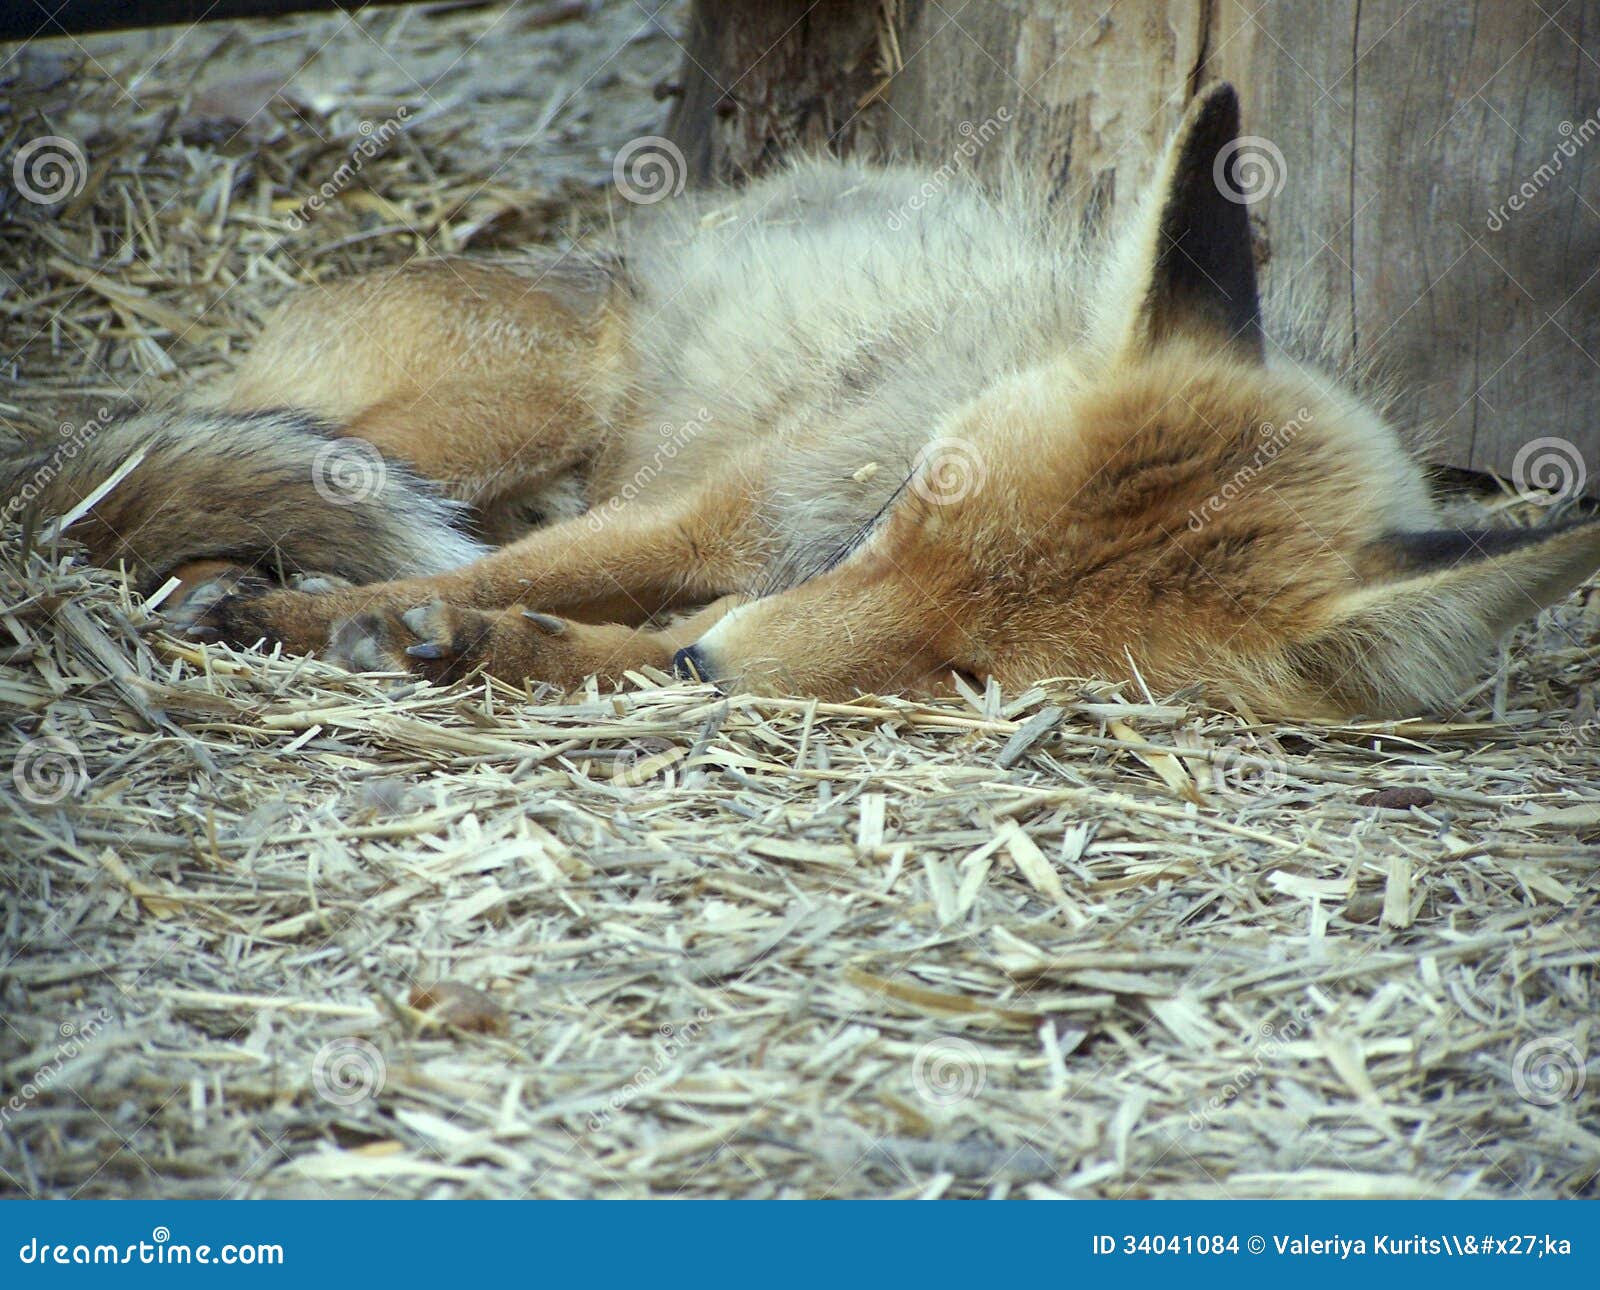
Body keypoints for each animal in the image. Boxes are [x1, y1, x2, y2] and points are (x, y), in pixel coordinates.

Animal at [7, 83, 1599, 717]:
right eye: (902, 513)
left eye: (975, 675)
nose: (714, 666)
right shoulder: (726, 513)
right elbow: (517, 570)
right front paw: (309, 623)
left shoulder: (745, 589)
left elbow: (588, 636)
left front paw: (506, 653)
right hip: (485, 425)